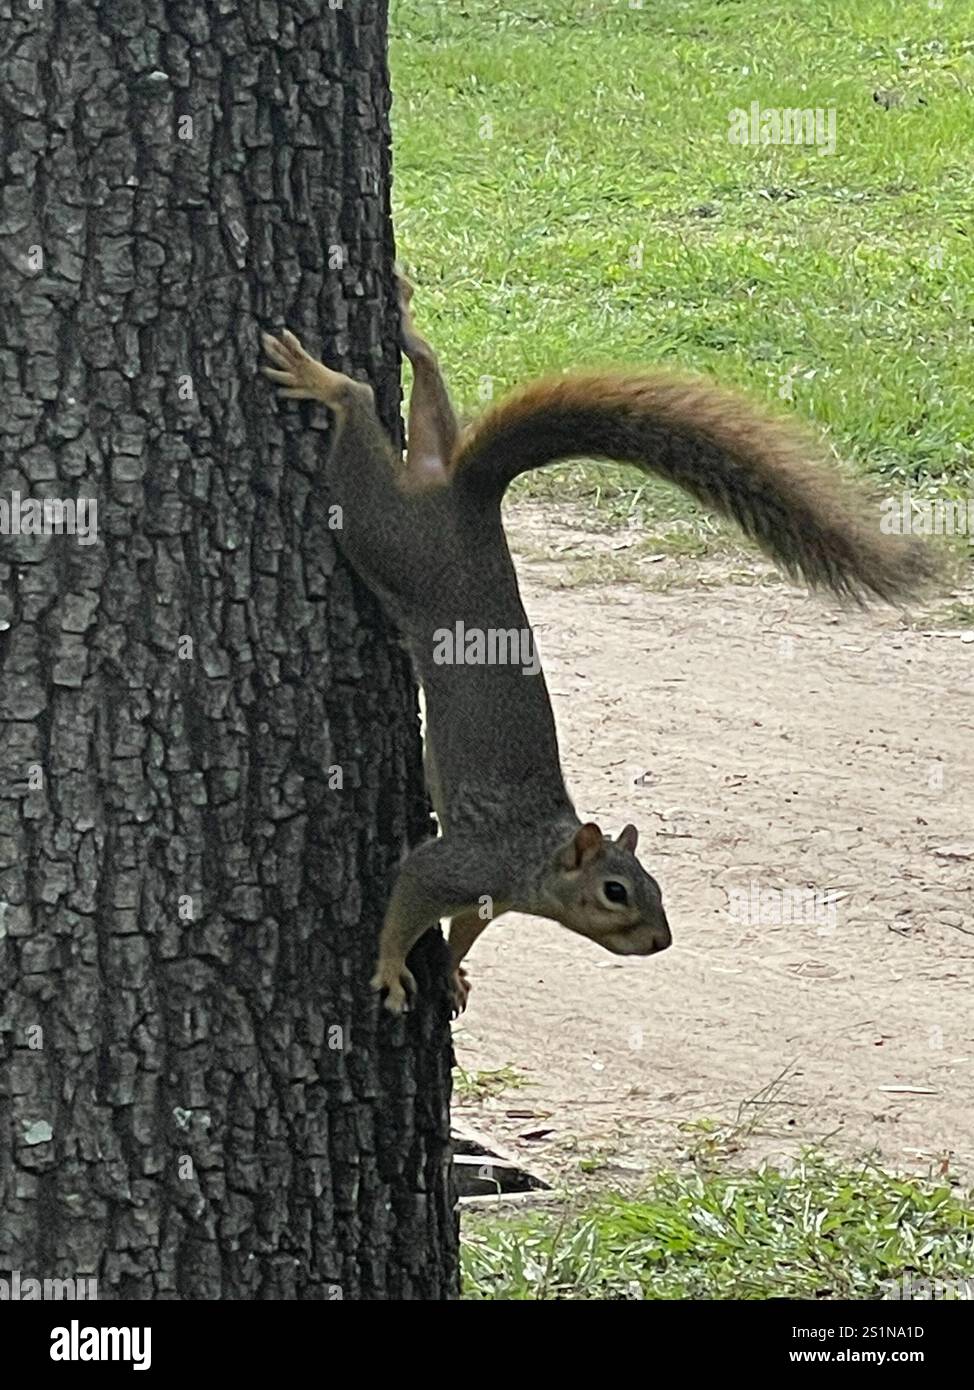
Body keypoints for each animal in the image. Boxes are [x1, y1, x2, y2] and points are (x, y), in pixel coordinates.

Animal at [261, 277, 934, 1016]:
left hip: (424, 473)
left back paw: (411, 333)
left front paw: (458, 973)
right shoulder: (459, 864)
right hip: (391, 541)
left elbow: (465, 930)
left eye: (657, 887)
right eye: (615, 892)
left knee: (433, 401)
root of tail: (470, 497)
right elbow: (408, 896)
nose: (661, 942)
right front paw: (390, 970)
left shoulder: (488, 898)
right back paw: (327, 383)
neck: (539, 861)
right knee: (359, 422)